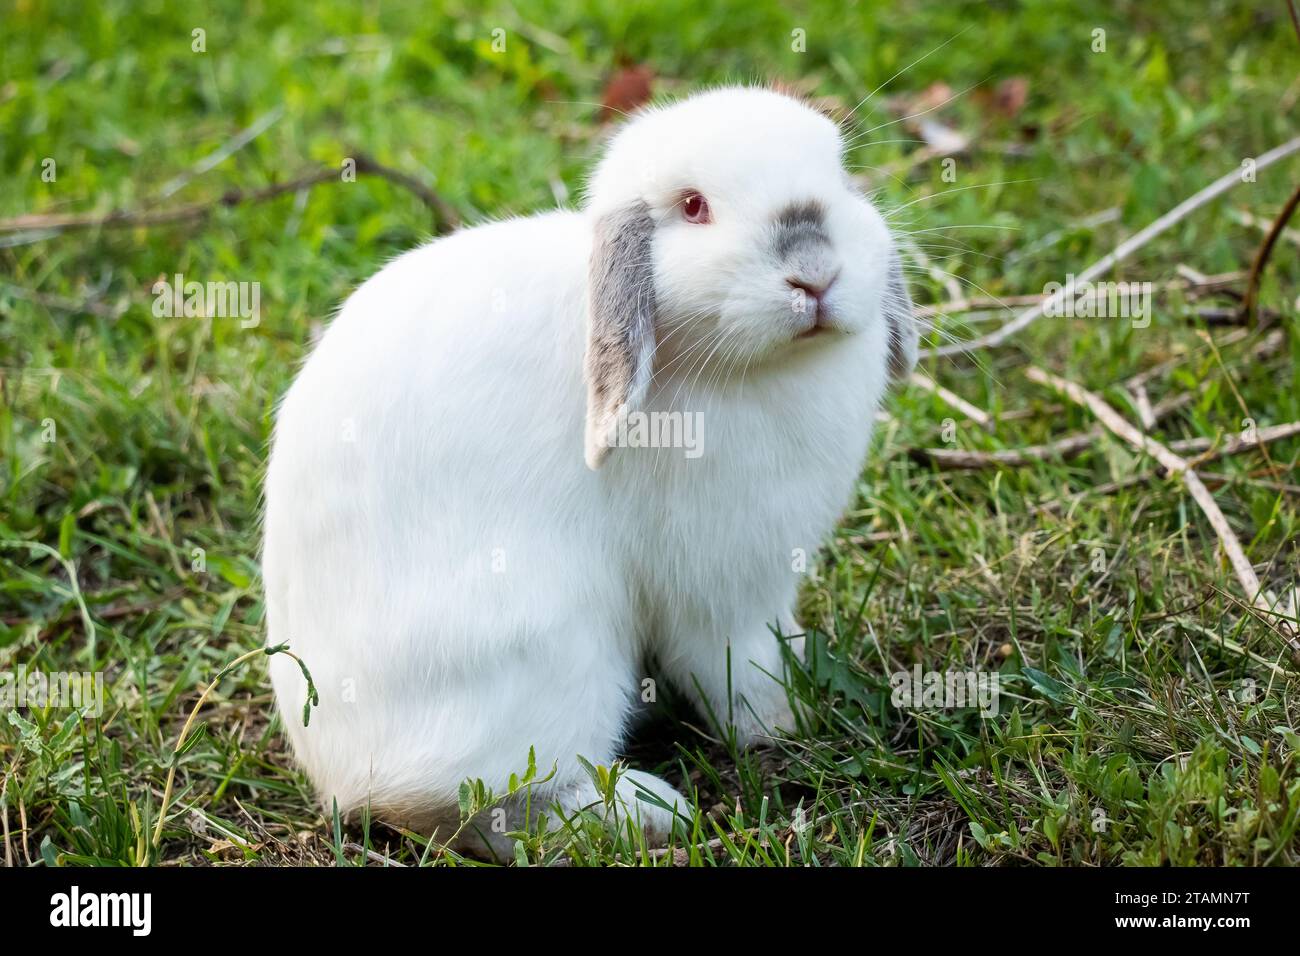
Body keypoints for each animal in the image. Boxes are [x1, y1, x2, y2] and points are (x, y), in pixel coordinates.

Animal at [264, 85, 916, 856]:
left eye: (840, 176)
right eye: (693, 206)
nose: (815, 272)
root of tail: (337, 777)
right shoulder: (719, 583)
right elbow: (736, 668)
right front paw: (786, 721)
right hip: (542, 657)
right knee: (487, 807)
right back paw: (647, 813)